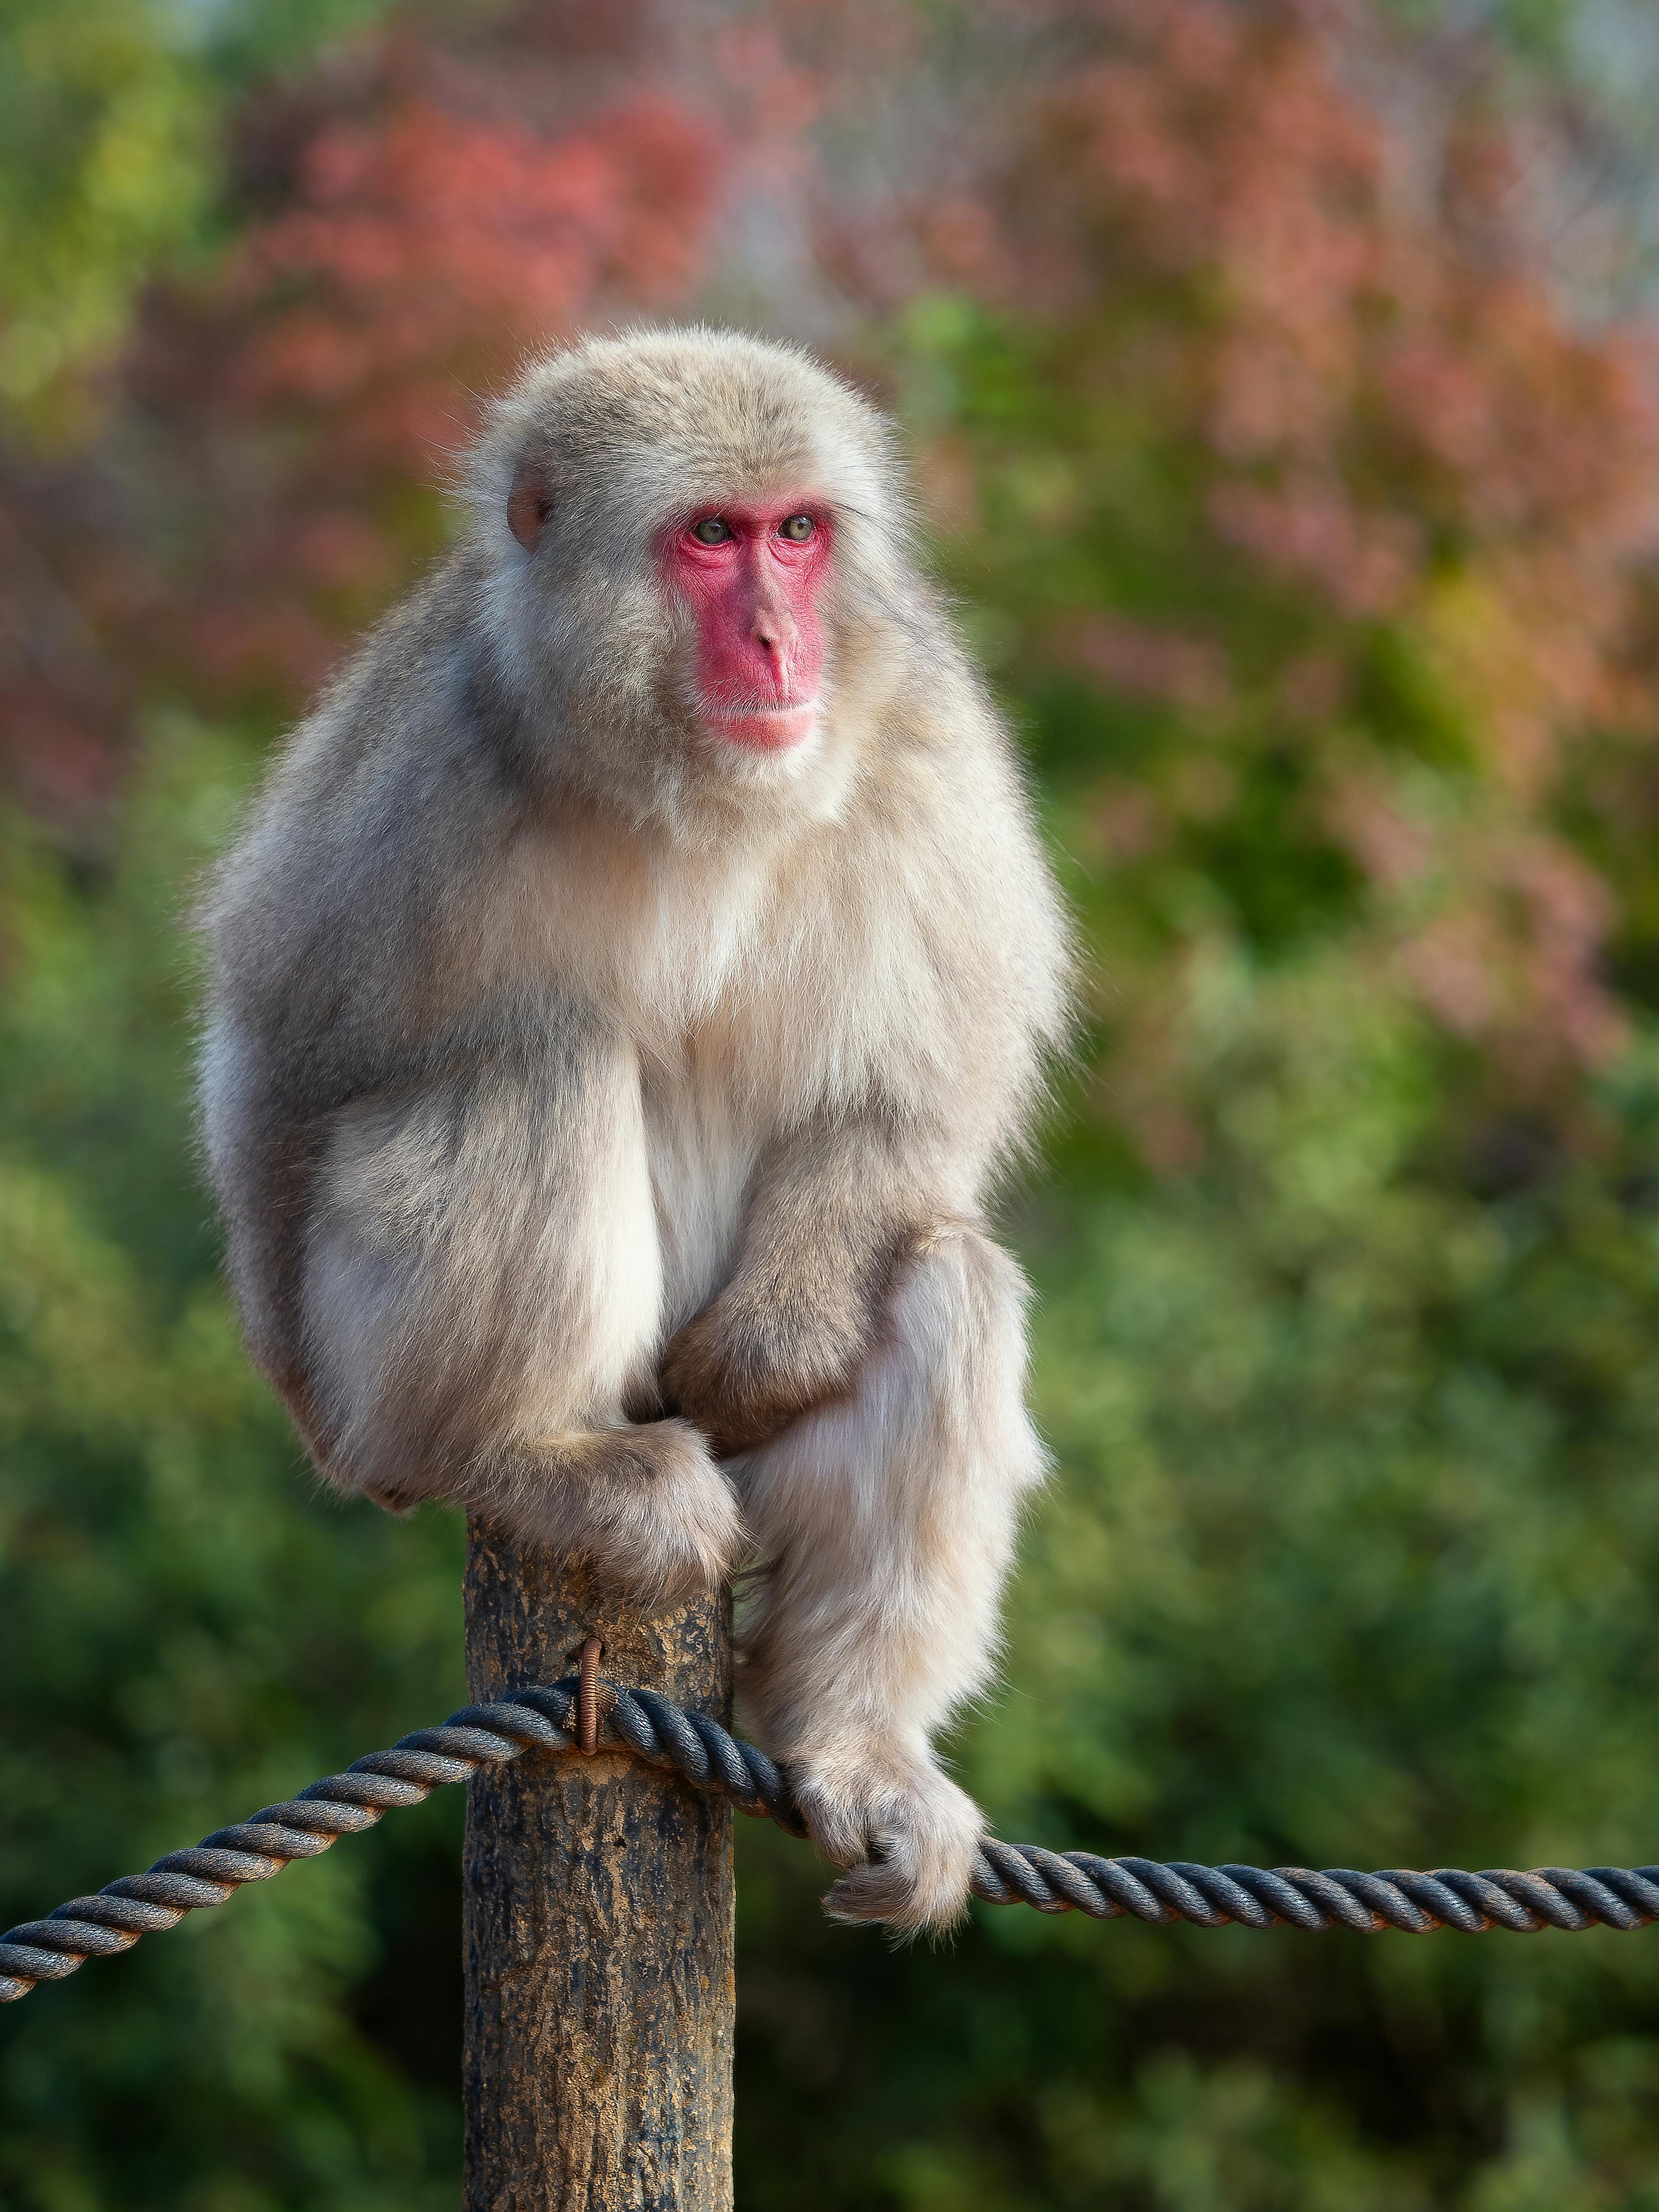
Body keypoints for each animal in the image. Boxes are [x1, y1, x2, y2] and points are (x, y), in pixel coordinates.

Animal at [198, 327, 1070, 1933]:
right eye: (709, 537)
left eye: (798, 531)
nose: (782, 643)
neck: (682, 779)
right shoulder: (422, 751)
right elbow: (284, 1065)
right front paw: (350, 1437)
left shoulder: (922, 735)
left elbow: (922, 1083)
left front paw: (776, 1342)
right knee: (543, 1056)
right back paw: (521, 1452)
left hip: (750, 1465)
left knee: (941, 1273)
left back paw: (852, 1739)